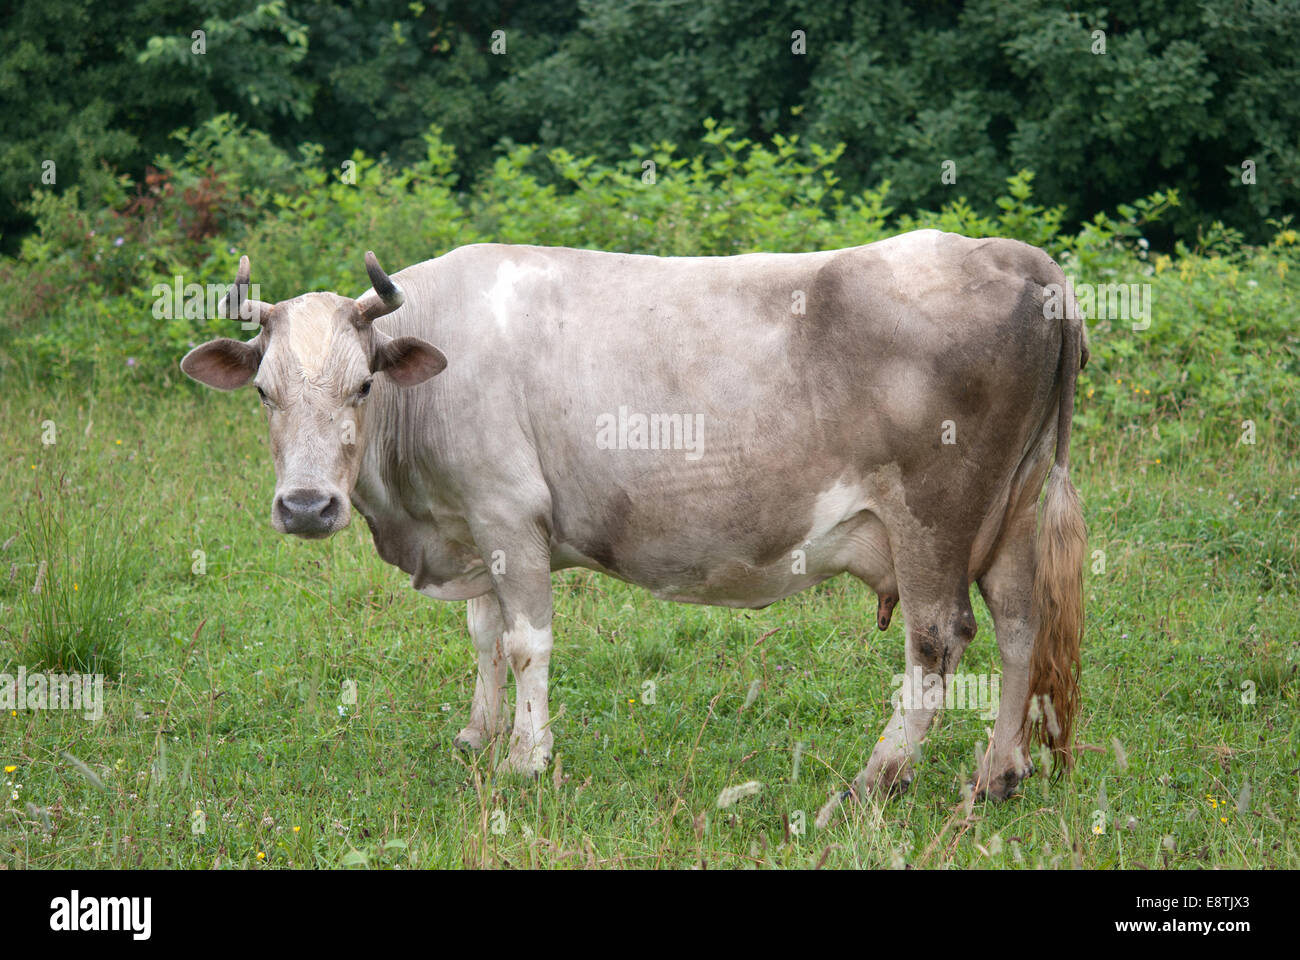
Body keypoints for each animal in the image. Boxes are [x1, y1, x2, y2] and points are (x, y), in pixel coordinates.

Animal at [180, 230, 1087, 803]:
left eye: (362, 385)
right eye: (263, 392)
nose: (306, 505)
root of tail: (1021, 256)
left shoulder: (510, 515)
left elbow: (525, 641)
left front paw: (525, 760)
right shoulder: (471, 524)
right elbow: (482, 635)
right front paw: (478, 737)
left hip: (935, 516)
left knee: (938, 639)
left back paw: (876, 779)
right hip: (1009, 512)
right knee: (1018, 623)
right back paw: (998, 773)